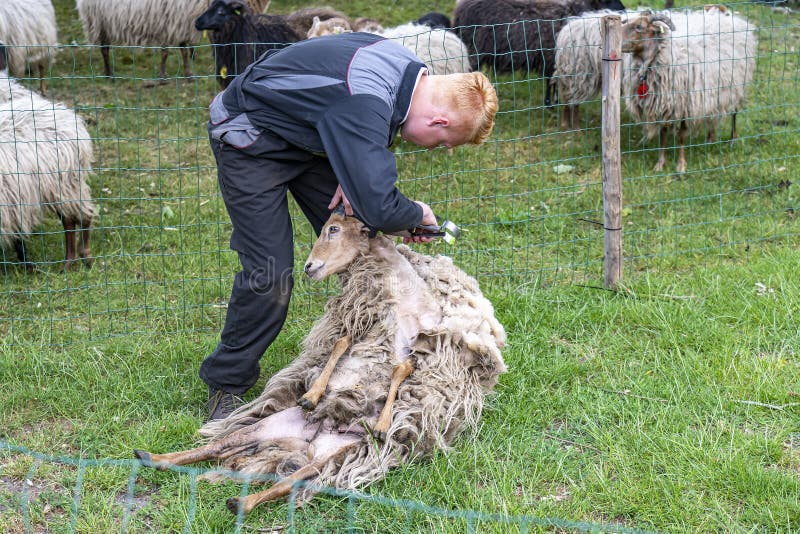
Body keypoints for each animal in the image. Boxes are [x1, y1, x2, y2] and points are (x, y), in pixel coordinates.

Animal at [133, 211, 507, 514]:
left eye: (335, 230)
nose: (309, 267)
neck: (407, 297)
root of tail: (307, 440)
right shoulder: (365, 325)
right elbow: (340, 345)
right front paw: (313, 395)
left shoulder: (420, 345)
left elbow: (399, 371)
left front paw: (383, 424)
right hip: (269, 426)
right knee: (218, 445)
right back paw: (155, 459)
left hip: (328, 456)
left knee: (289, 481)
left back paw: (240, 502)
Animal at [453, 0, 626, 106]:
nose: (624, 12)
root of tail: (460, 10)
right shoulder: (552, 57)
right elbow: (551, 81)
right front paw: (551, 104)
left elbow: (550, 80)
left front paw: (551, 102)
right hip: (472, 50)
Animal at [621, 9, 758, 172]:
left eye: (639, 27)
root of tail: (731, 18)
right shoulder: (663, 105)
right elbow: (663, 136)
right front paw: (660, 164)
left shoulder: (685, 106)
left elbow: (681, 137)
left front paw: (681, 165)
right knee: (713, 114)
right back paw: (710, 138)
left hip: (735, 85)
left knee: (734, 113)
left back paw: (733, 139)